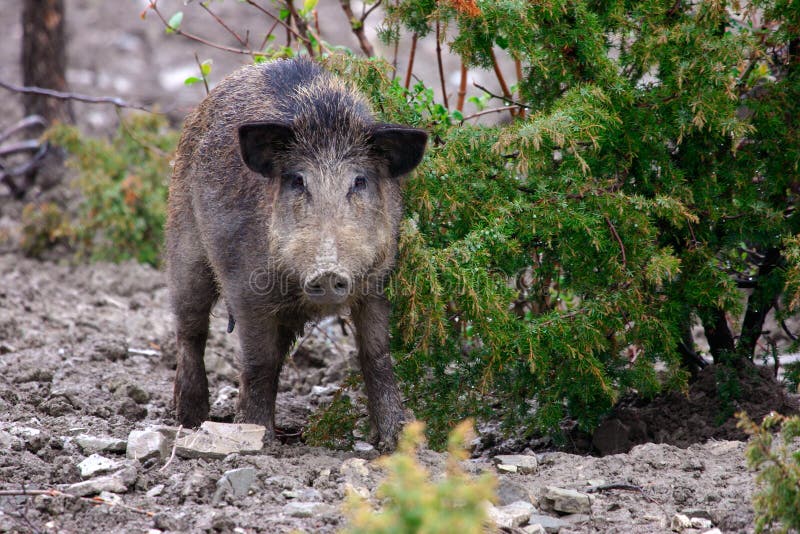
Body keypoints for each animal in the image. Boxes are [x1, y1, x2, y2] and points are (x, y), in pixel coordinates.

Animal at [166, 57, 427, 451]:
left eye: (359, 181)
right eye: (297, 181)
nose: (327, 272)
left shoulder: (378, 282)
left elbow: (377, 355)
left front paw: (399, 440)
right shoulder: (245, 289)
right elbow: (257, 362)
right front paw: (258, 440)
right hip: (184, 244)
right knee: (190, 330)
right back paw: (191, 419)